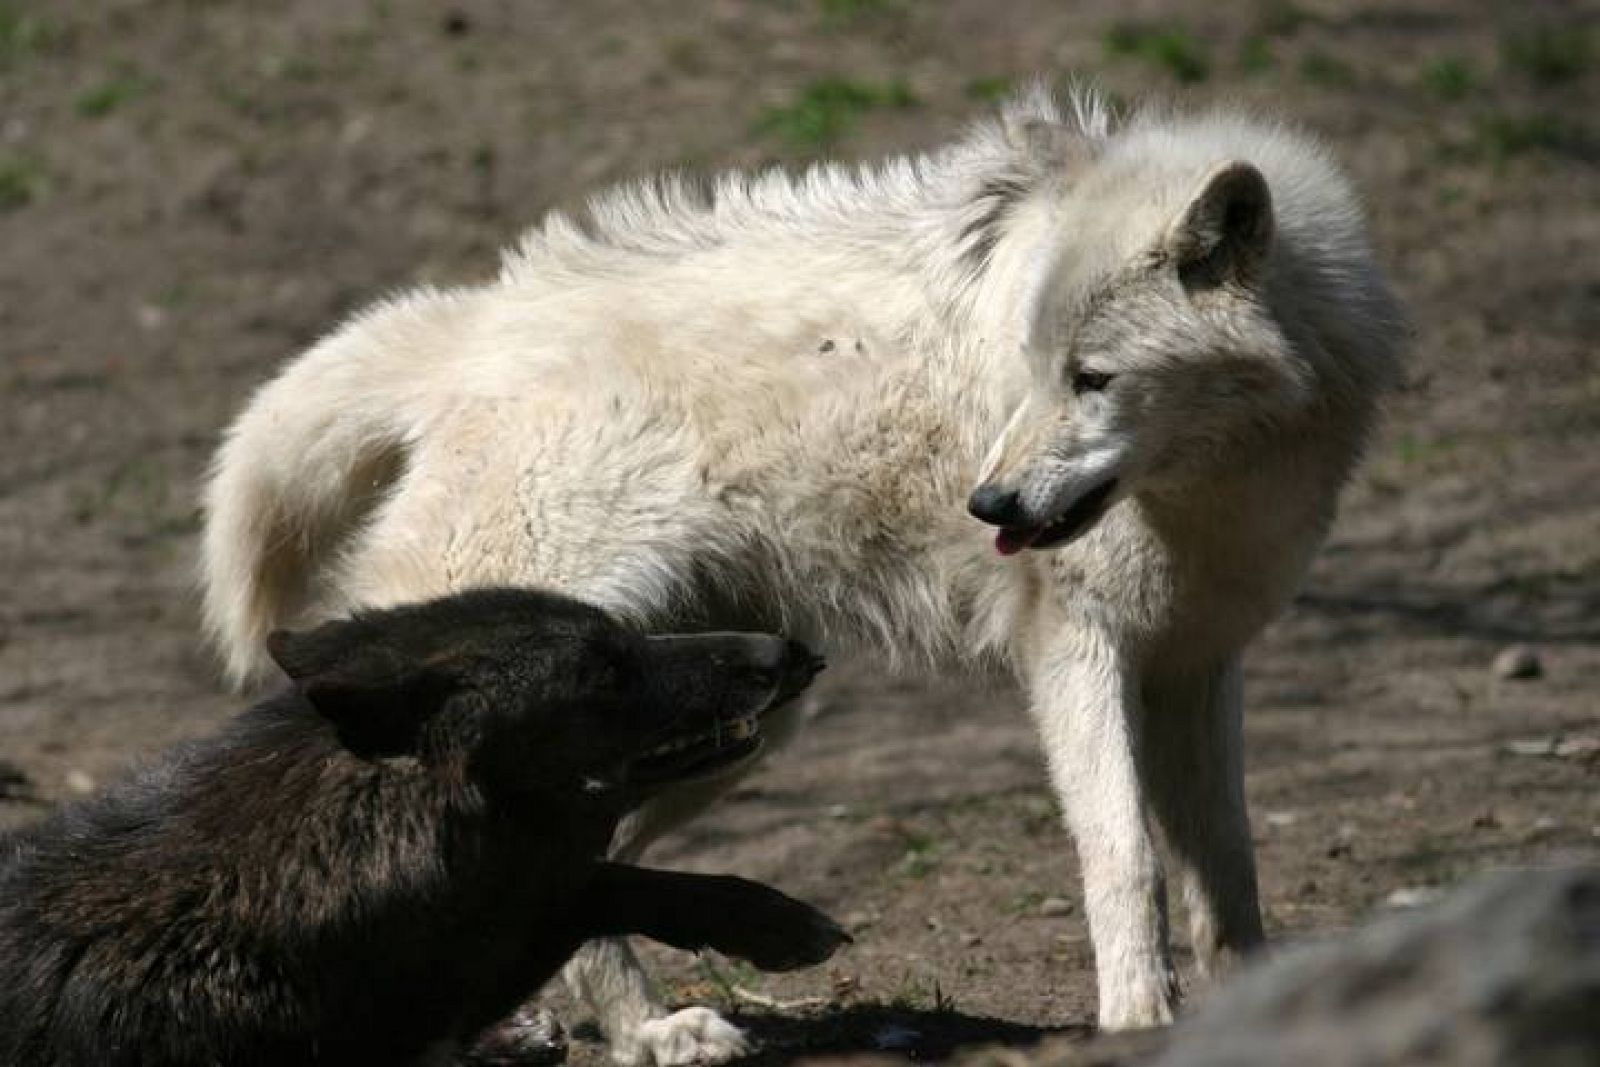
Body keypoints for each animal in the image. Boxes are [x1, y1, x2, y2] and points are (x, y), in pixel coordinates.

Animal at [200, 87, 1401, 1062]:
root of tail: (467, 329)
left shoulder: (1197, 662)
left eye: (1092, 379)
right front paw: (1140, 1021)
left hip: (741, 724)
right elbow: (1126, 861)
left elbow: (1227, 879)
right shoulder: (1077, 650)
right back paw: (638, 1032)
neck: (1217, 478)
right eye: (1031, 373)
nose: (990, 508)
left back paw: (617, 1030)